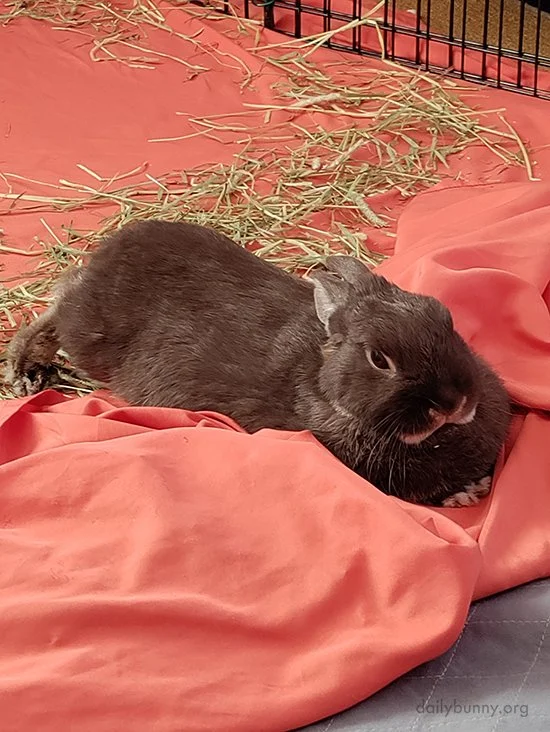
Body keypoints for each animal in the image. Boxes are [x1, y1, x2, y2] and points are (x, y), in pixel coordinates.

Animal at [5, 219, 511, 507]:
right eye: (378, 359)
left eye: (443, 316)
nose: (453, 402)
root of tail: (107, 254)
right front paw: (466, 493)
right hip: (90, 331)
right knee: (57, 306)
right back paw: (27, 370)